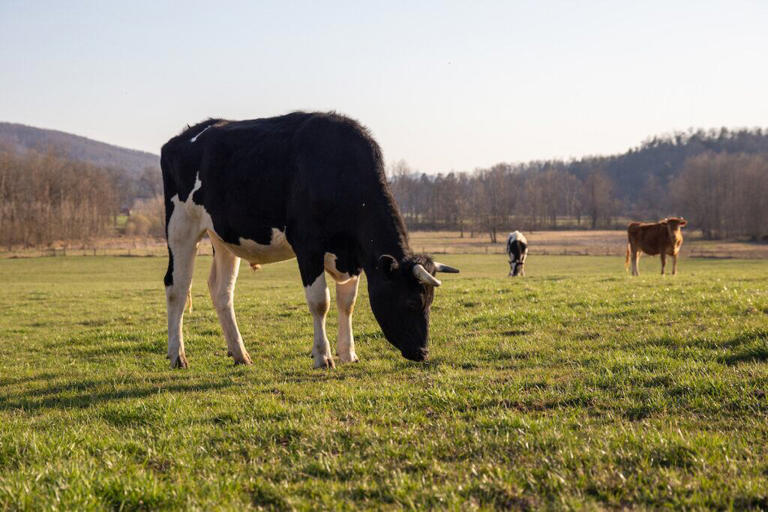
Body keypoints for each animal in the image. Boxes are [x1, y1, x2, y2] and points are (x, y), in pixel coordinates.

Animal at [160, 112, 459, 369]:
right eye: (411, 302)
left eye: (430, 302)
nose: (423, 352)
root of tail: (183, 136)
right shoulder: (308, 246)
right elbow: (320, 301)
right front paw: (323, 356)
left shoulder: (353, 257)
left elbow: (347, 302)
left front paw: (348, 353)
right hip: (180, 227)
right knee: (176, 286)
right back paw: (177, 356)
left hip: (224, 237)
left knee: (222, 290)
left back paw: (240, 354)